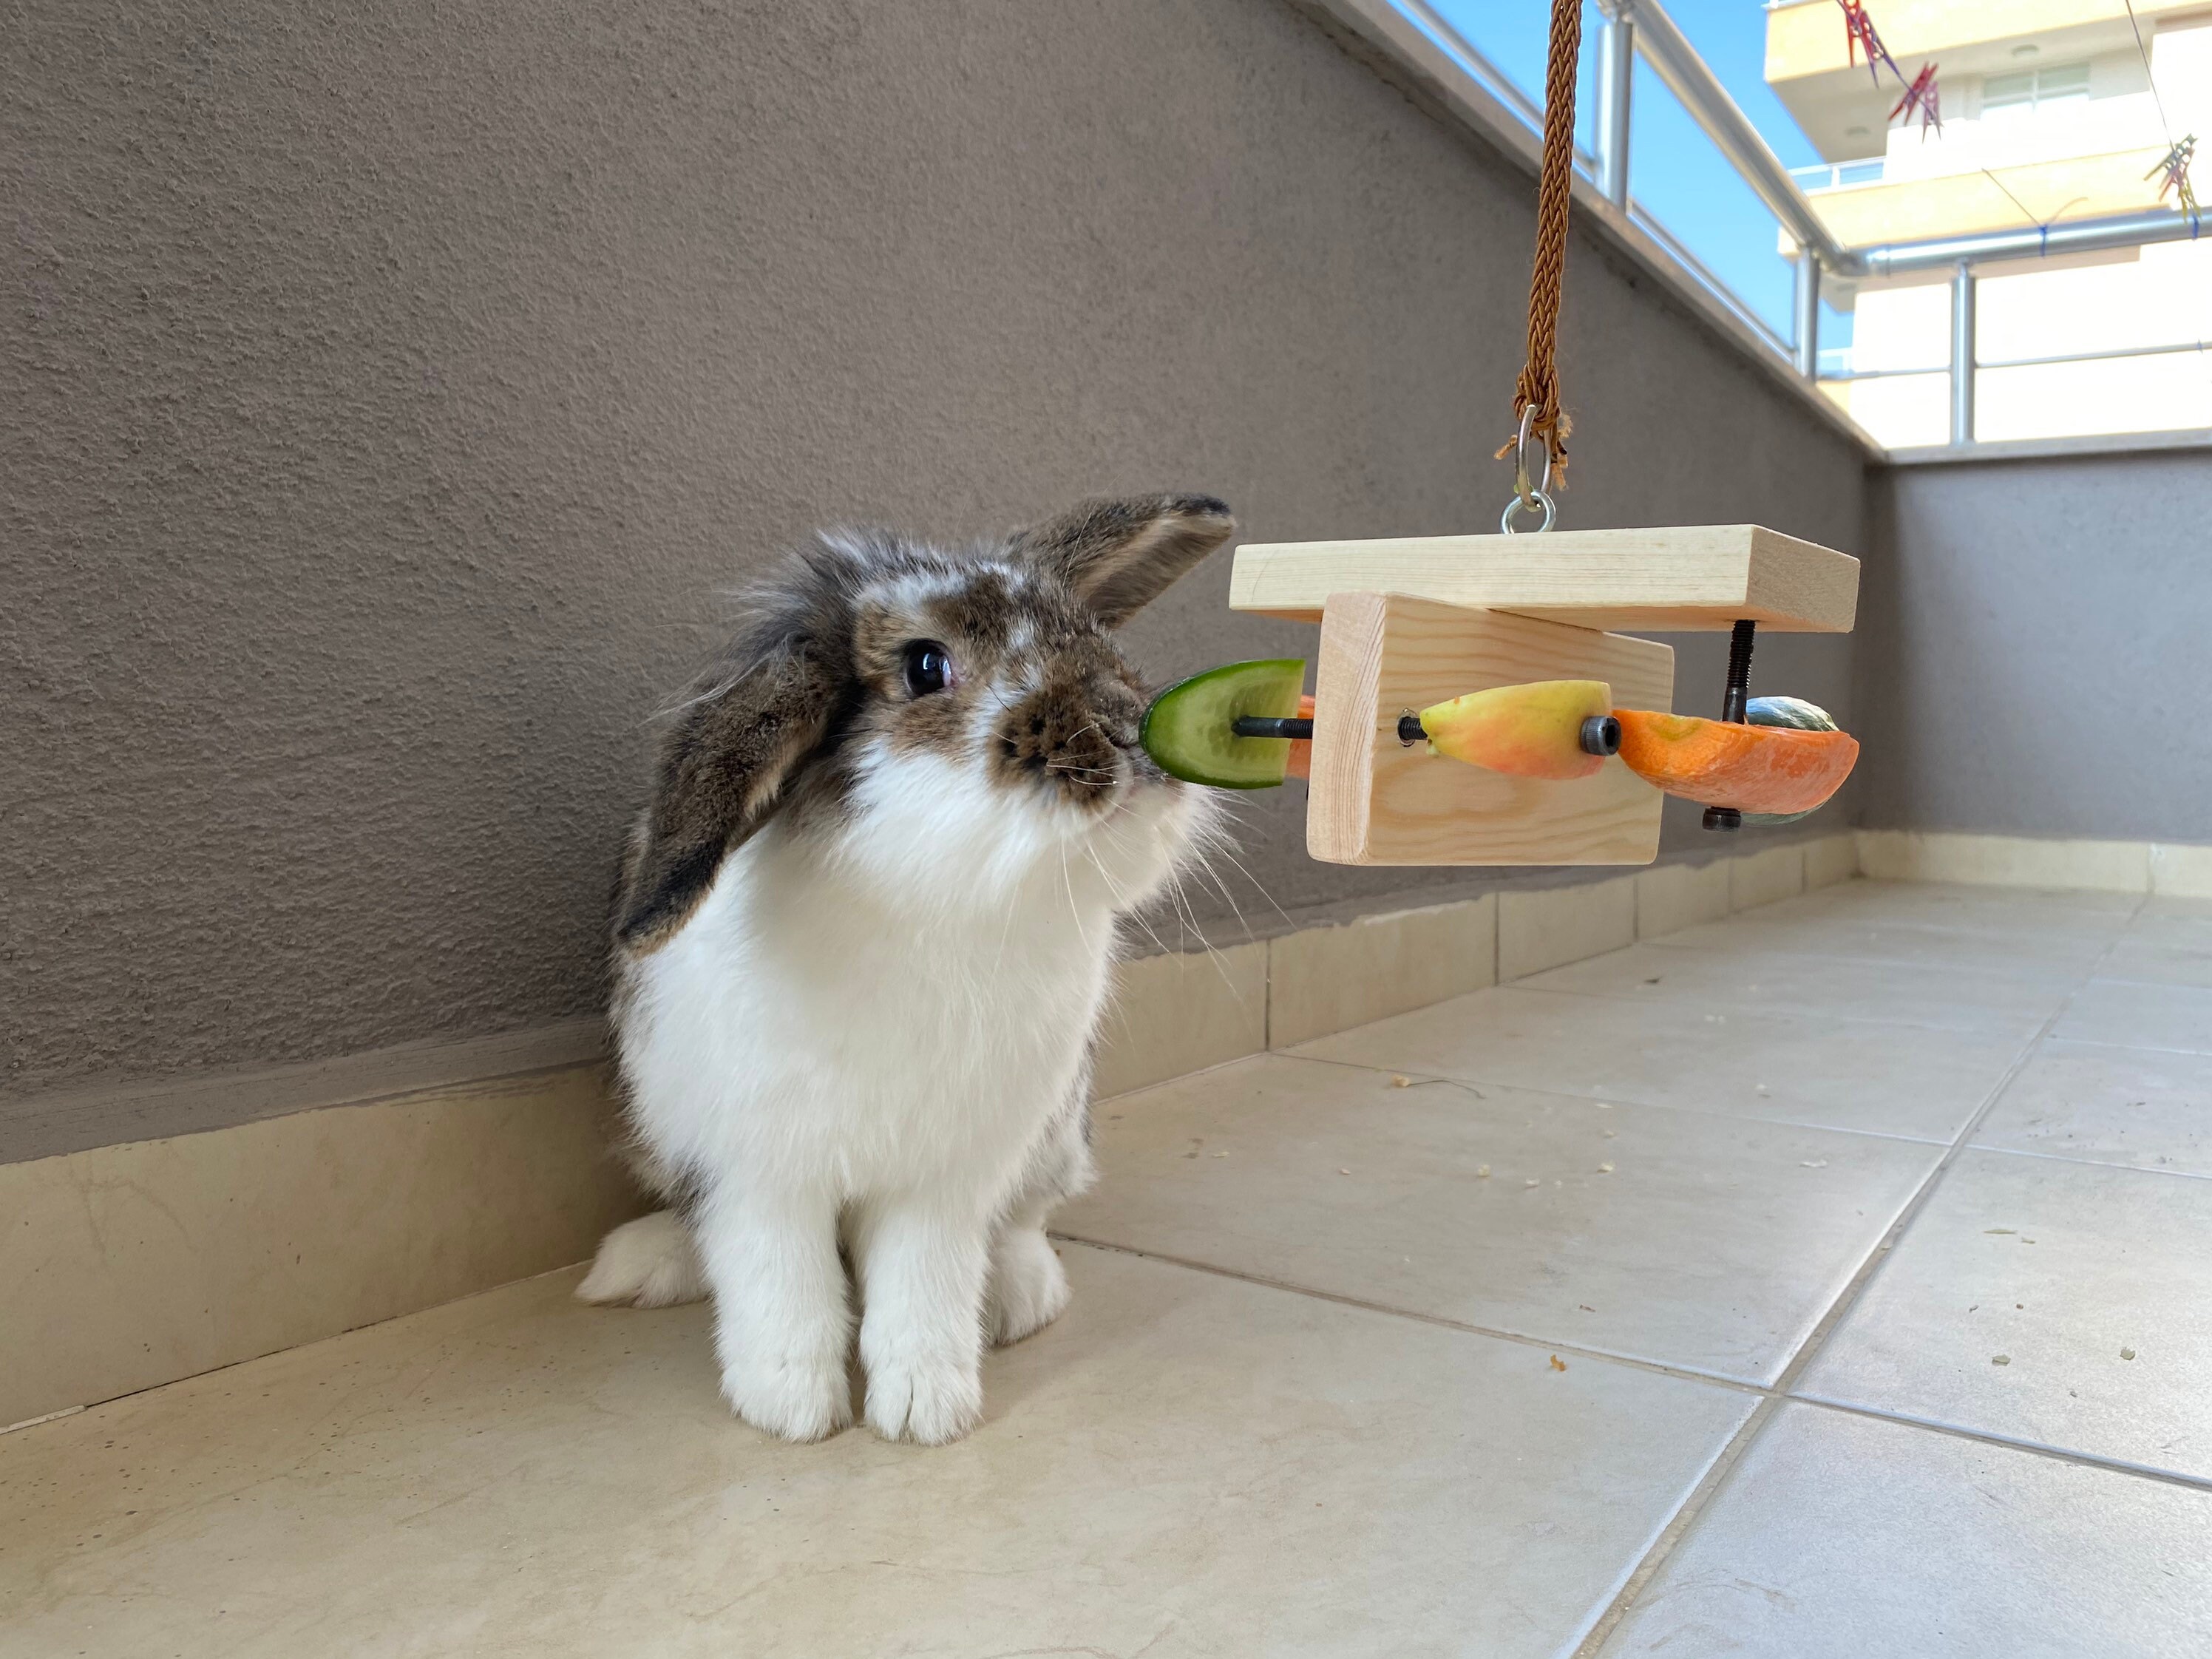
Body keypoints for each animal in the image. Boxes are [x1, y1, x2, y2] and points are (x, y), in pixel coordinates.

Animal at [577, 493, 1237, 1445]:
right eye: (926, 666)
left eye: (1088, 633)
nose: (1126, 728)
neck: (937, 907)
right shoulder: (758, 1170)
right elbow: (777, 1281)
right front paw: (792, 1409)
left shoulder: (947, 1176)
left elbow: (922, 1286)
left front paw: (927, 1408)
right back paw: (639, 1264)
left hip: (1053, 1136)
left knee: (1021, 1226)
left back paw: (1017, 1298)